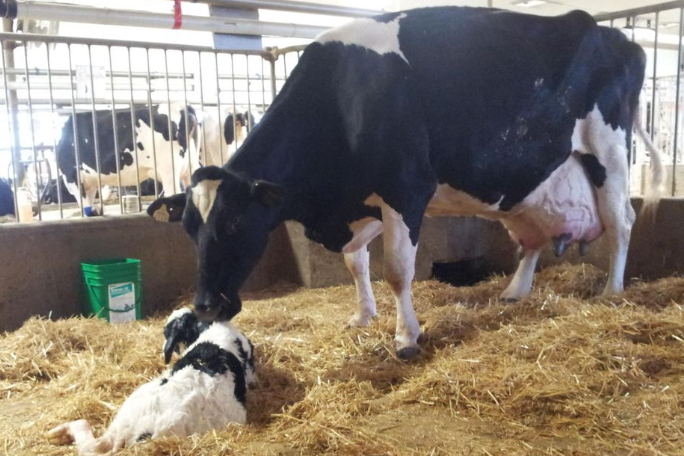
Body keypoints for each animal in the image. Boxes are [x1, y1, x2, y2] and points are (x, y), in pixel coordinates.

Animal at [147, 7, 664, 359]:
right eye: (189, 228)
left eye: (235, 224)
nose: (205, 305)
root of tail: (618, 35)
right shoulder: (366, 203)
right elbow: (356, 263)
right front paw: (361, 315)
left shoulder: (406, 188)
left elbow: (397, 269)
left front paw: (405, 336)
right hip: (530, 189)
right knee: (533, 237)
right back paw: (516, 291)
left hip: (608, 150)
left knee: (622, 221)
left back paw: (613, 290)